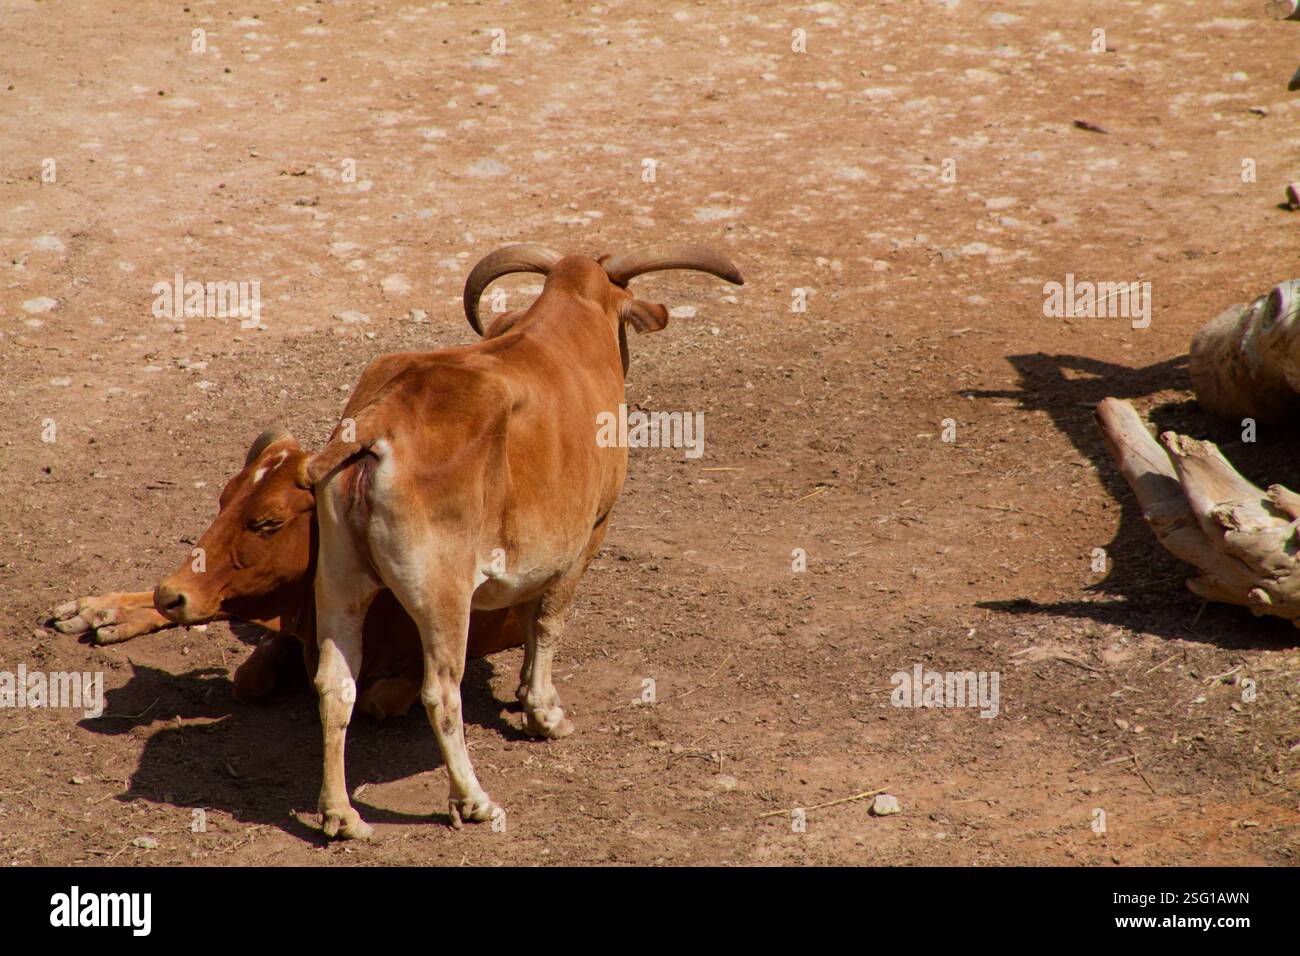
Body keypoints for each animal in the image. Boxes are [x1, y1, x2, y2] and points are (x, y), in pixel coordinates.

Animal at [296, 242, 742, 837]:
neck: (570, 326)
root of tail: (378, 425)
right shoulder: (587, 536)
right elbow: (547, 622)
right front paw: (544, 713)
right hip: (442, 593)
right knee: (441, 691)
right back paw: (474, 800)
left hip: (338, 581)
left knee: (335, 684)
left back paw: (341, 814)